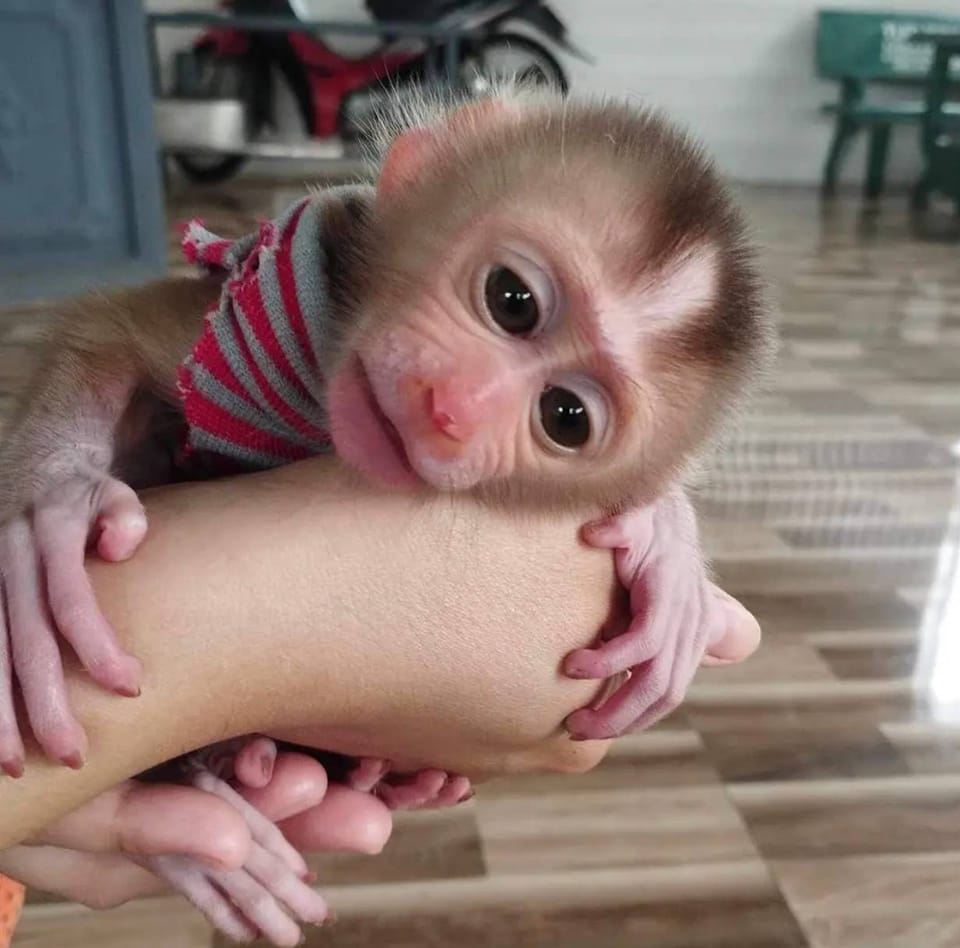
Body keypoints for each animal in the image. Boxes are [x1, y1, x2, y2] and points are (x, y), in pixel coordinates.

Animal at [0, 85, 772, 941]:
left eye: (565, 417)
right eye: (512, 300)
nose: (452, 409)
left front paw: (668, 554)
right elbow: (104, 335)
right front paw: (52, 517)